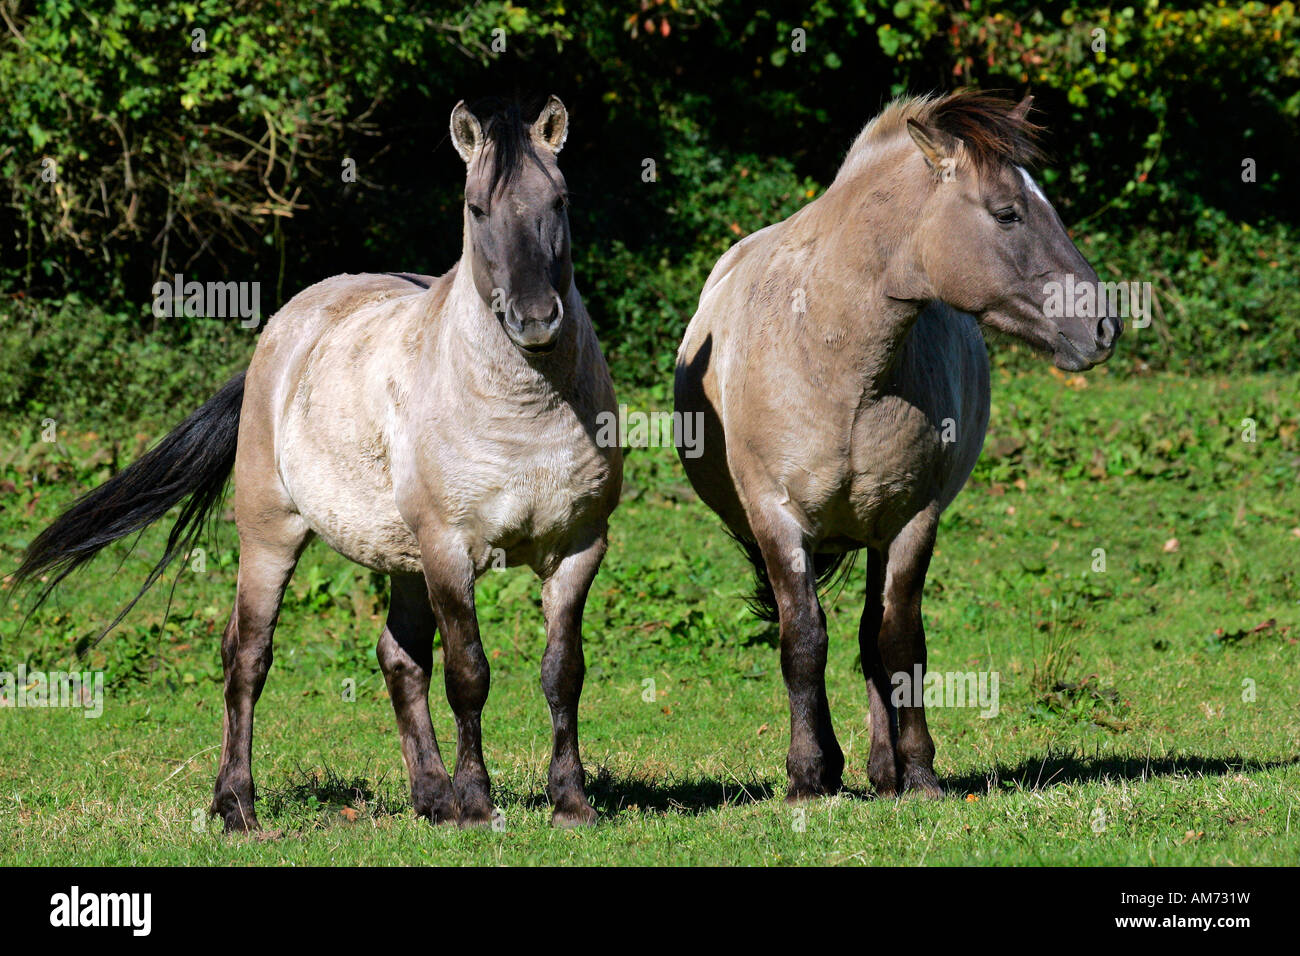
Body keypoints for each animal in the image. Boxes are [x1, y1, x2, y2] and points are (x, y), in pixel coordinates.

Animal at [14, 96, 622, 831]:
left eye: (558, 201)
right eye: (476, 208)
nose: (535, 320)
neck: (520, 412)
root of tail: (287, 326)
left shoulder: (578, 546)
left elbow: (562, 672)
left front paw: (570, 802)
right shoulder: (451, 551)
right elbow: (469, 675)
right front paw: (479, 805)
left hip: (404, 558)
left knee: (399, 659)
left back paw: (432, 798)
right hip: (272, 535)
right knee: (246, 655)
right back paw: (239, 808)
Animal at [674, 91, 1120, 801]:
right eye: (1008, 212)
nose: (1104, 325)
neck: (837, 361)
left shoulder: (912, 521)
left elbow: (899, 642)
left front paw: (918, 770)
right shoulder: (777, 522)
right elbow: (804, 641)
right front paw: (808, 775)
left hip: (877, 535)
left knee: (869, 638)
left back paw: (884, 769)